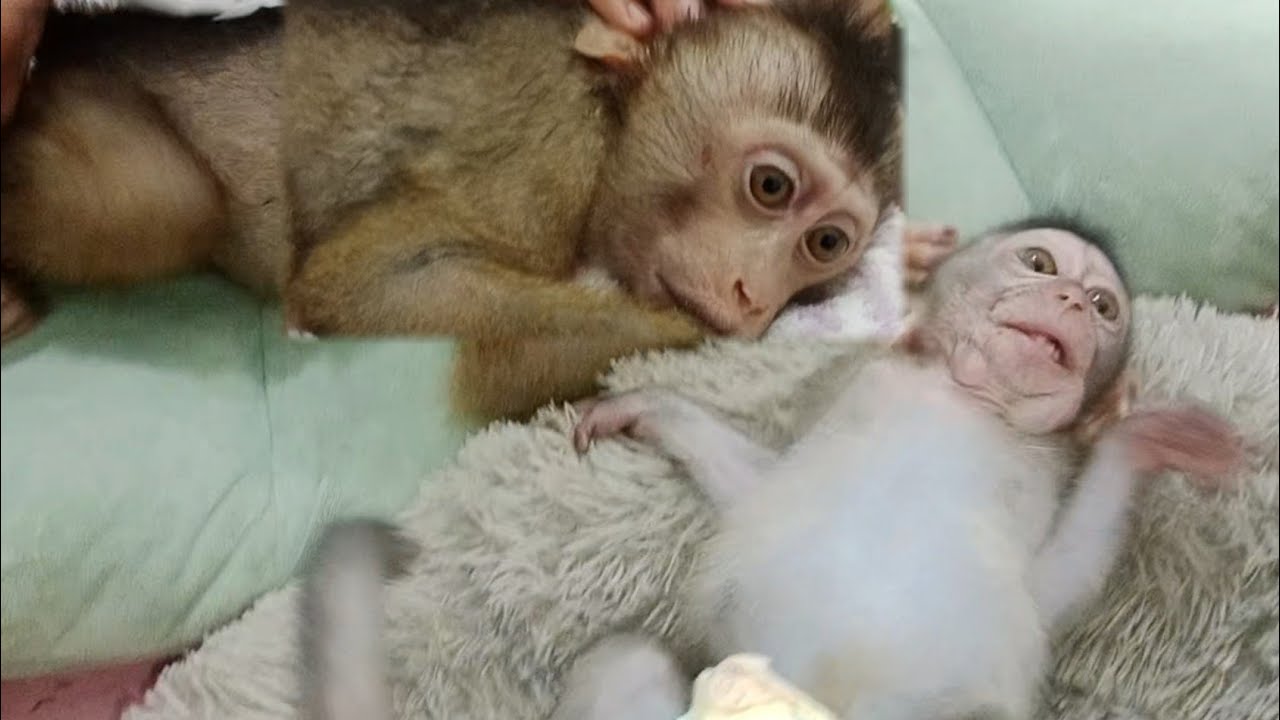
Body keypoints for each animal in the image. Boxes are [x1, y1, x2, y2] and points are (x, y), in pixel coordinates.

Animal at [291, 218, 1240, 720]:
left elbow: (1054, 586)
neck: (963, 398)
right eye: (1040, 264)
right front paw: (656, 411)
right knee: (627, 663)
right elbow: (758, 488)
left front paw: (1144, 442)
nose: (1074, 304)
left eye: (1106, 307)